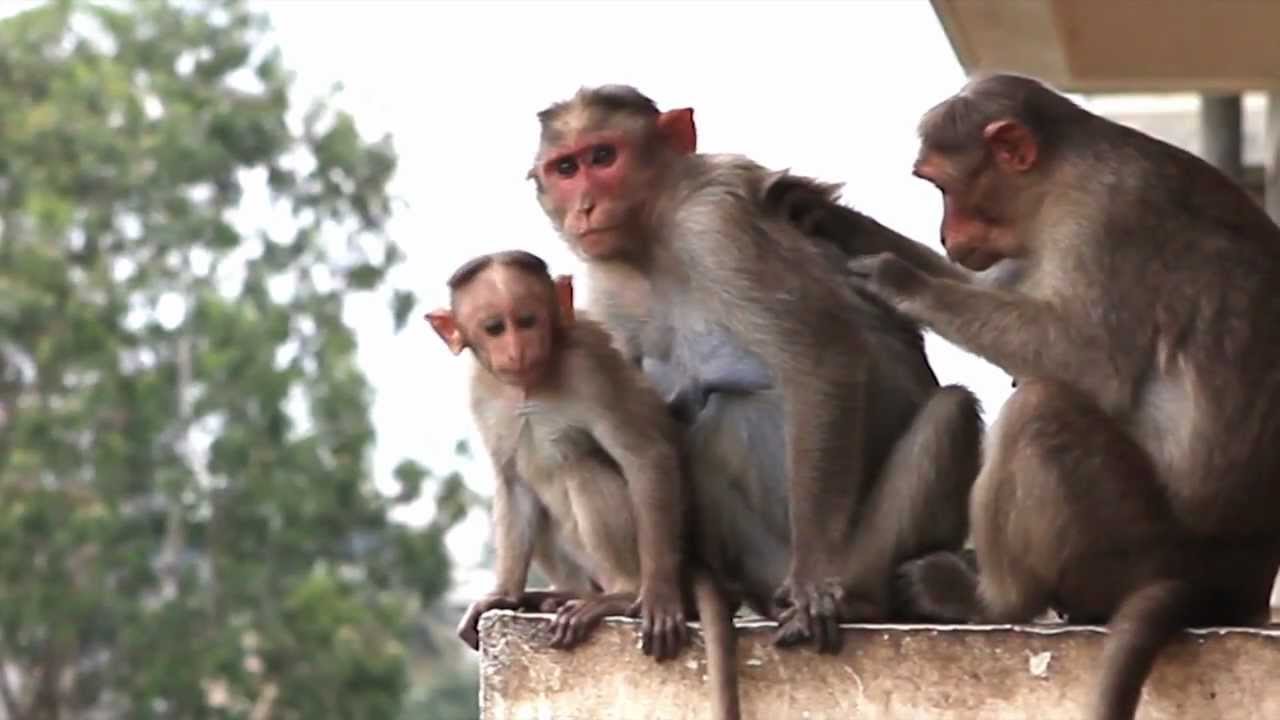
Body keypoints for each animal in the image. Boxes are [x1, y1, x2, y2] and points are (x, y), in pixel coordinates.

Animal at [427, 251, 741, 719]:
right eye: (495, 328)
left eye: (527, 319)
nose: (517, 349)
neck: (529, 387)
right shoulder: (481, 391)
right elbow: (512, 482)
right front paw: (503, 595)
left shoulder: (589, 370)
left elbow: (645, 457)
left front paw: (658, 597)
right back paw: (559, 595)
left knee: (581, 469)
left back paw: (625, 595)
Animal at [528, 85, 985, 653]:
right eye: (566, 168)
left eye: (603, 156)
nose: (585, 207)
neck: (653, 237)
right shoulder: (609, 289)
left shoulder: (715, 226)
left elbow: (820, 359)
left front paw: (812, 585)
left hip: (856, 548)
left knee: (950, 411)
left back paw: (859, 599)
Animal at [838, 72, 1280, 720]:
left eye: (943, 184)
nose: (944, 234)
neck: (1056, 178)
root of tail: (1222, 586)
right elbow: (987, 286)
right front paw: (830, 217)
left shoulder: (1103, 220)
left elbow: (1085, 359)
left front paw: (901, 280)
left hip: (1134, 548)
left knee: (1039, 409)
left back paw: (993, 601)